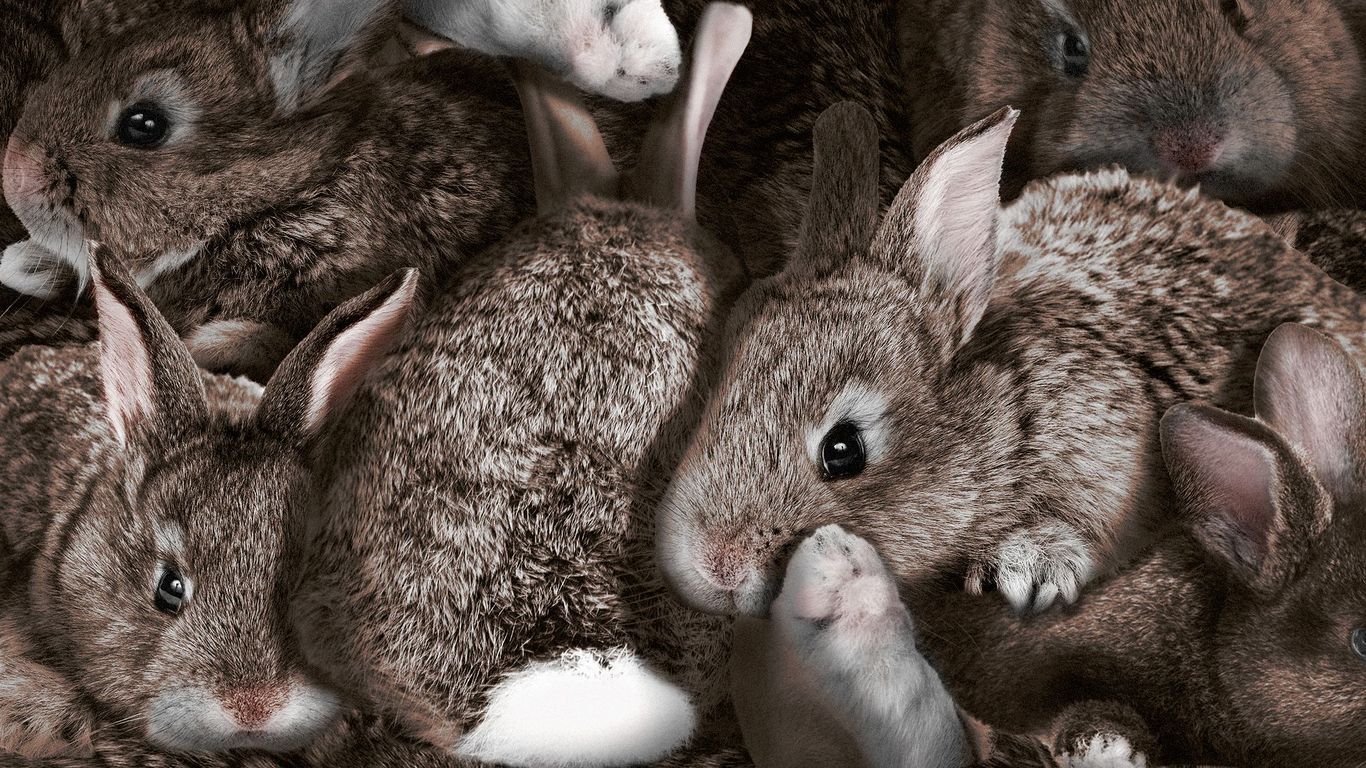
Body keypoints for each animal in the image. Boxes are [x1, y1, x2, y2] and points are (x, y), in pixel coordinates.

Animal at [653, 98, 1366, 622]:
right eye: (712, 399)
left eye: (843, 450)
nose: (714, 568)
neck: (999, 404)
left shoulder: (1105, 433)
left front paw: (1031, 569)